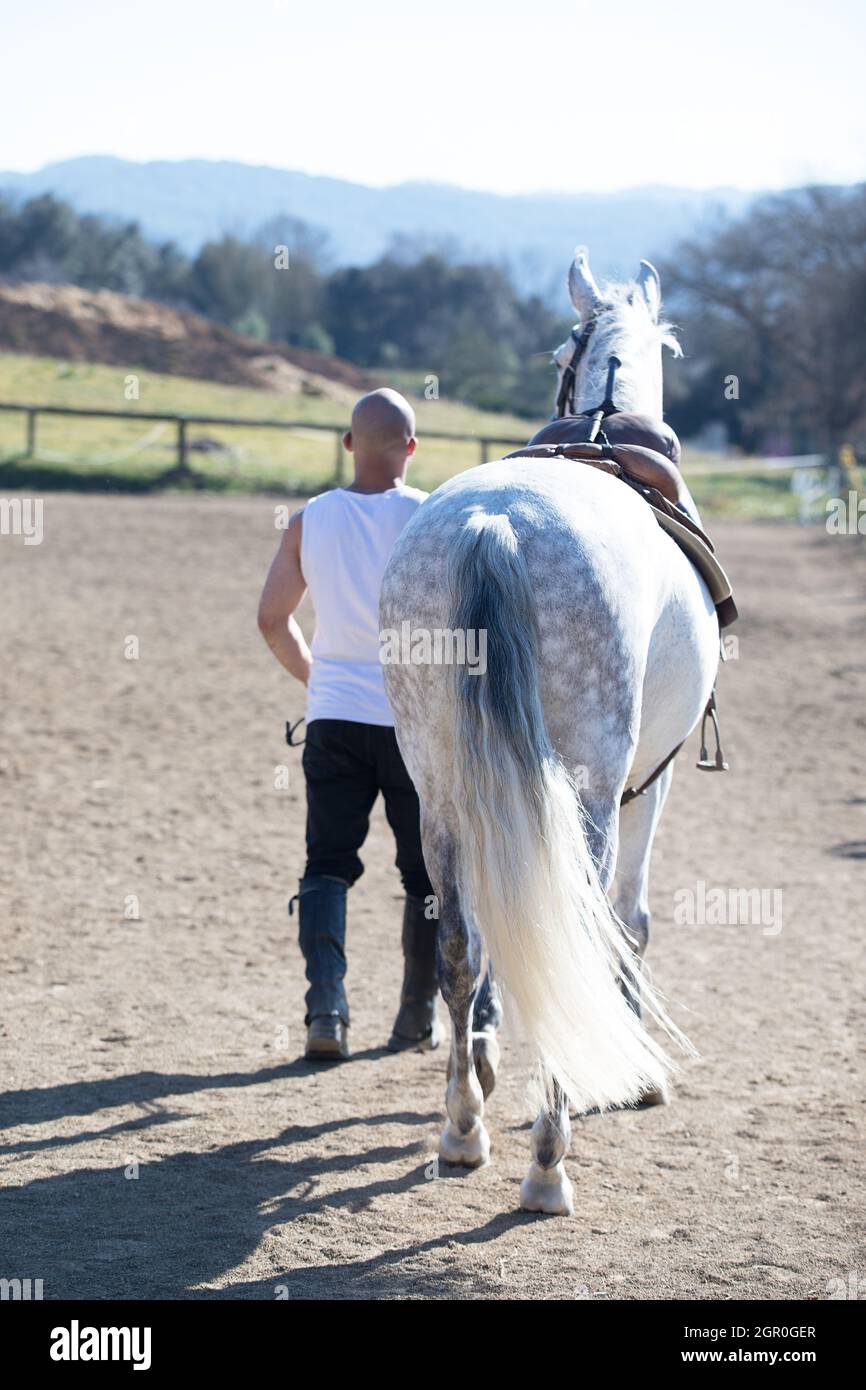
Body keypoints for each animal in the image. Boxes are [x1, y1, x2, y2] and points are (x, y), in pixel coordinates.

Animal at [379, 247, 720, 1215]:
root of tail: (499, 524)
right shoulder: (652, 781)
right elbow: (630, 921)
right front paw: (638, 1073)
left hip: (441, 786)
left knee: (460, 938)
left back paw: (463, 1130)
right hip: (591, 788)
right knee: (575, 916)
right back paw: (547, 1163)